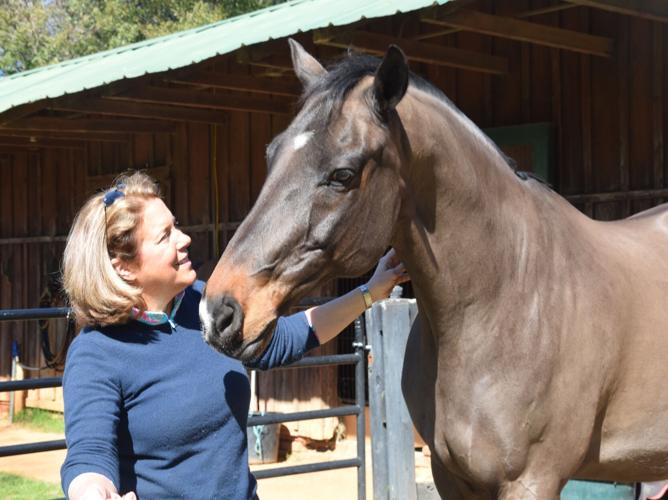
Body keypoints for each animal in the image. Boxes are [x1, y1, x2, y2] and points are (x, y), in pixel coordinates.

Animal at [200, 39, 668, 499]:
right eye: (271, 154)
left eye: (343, 174)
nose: (218, 312)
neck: (510, 296)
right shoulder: (451, 476)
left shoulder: (533, 480)